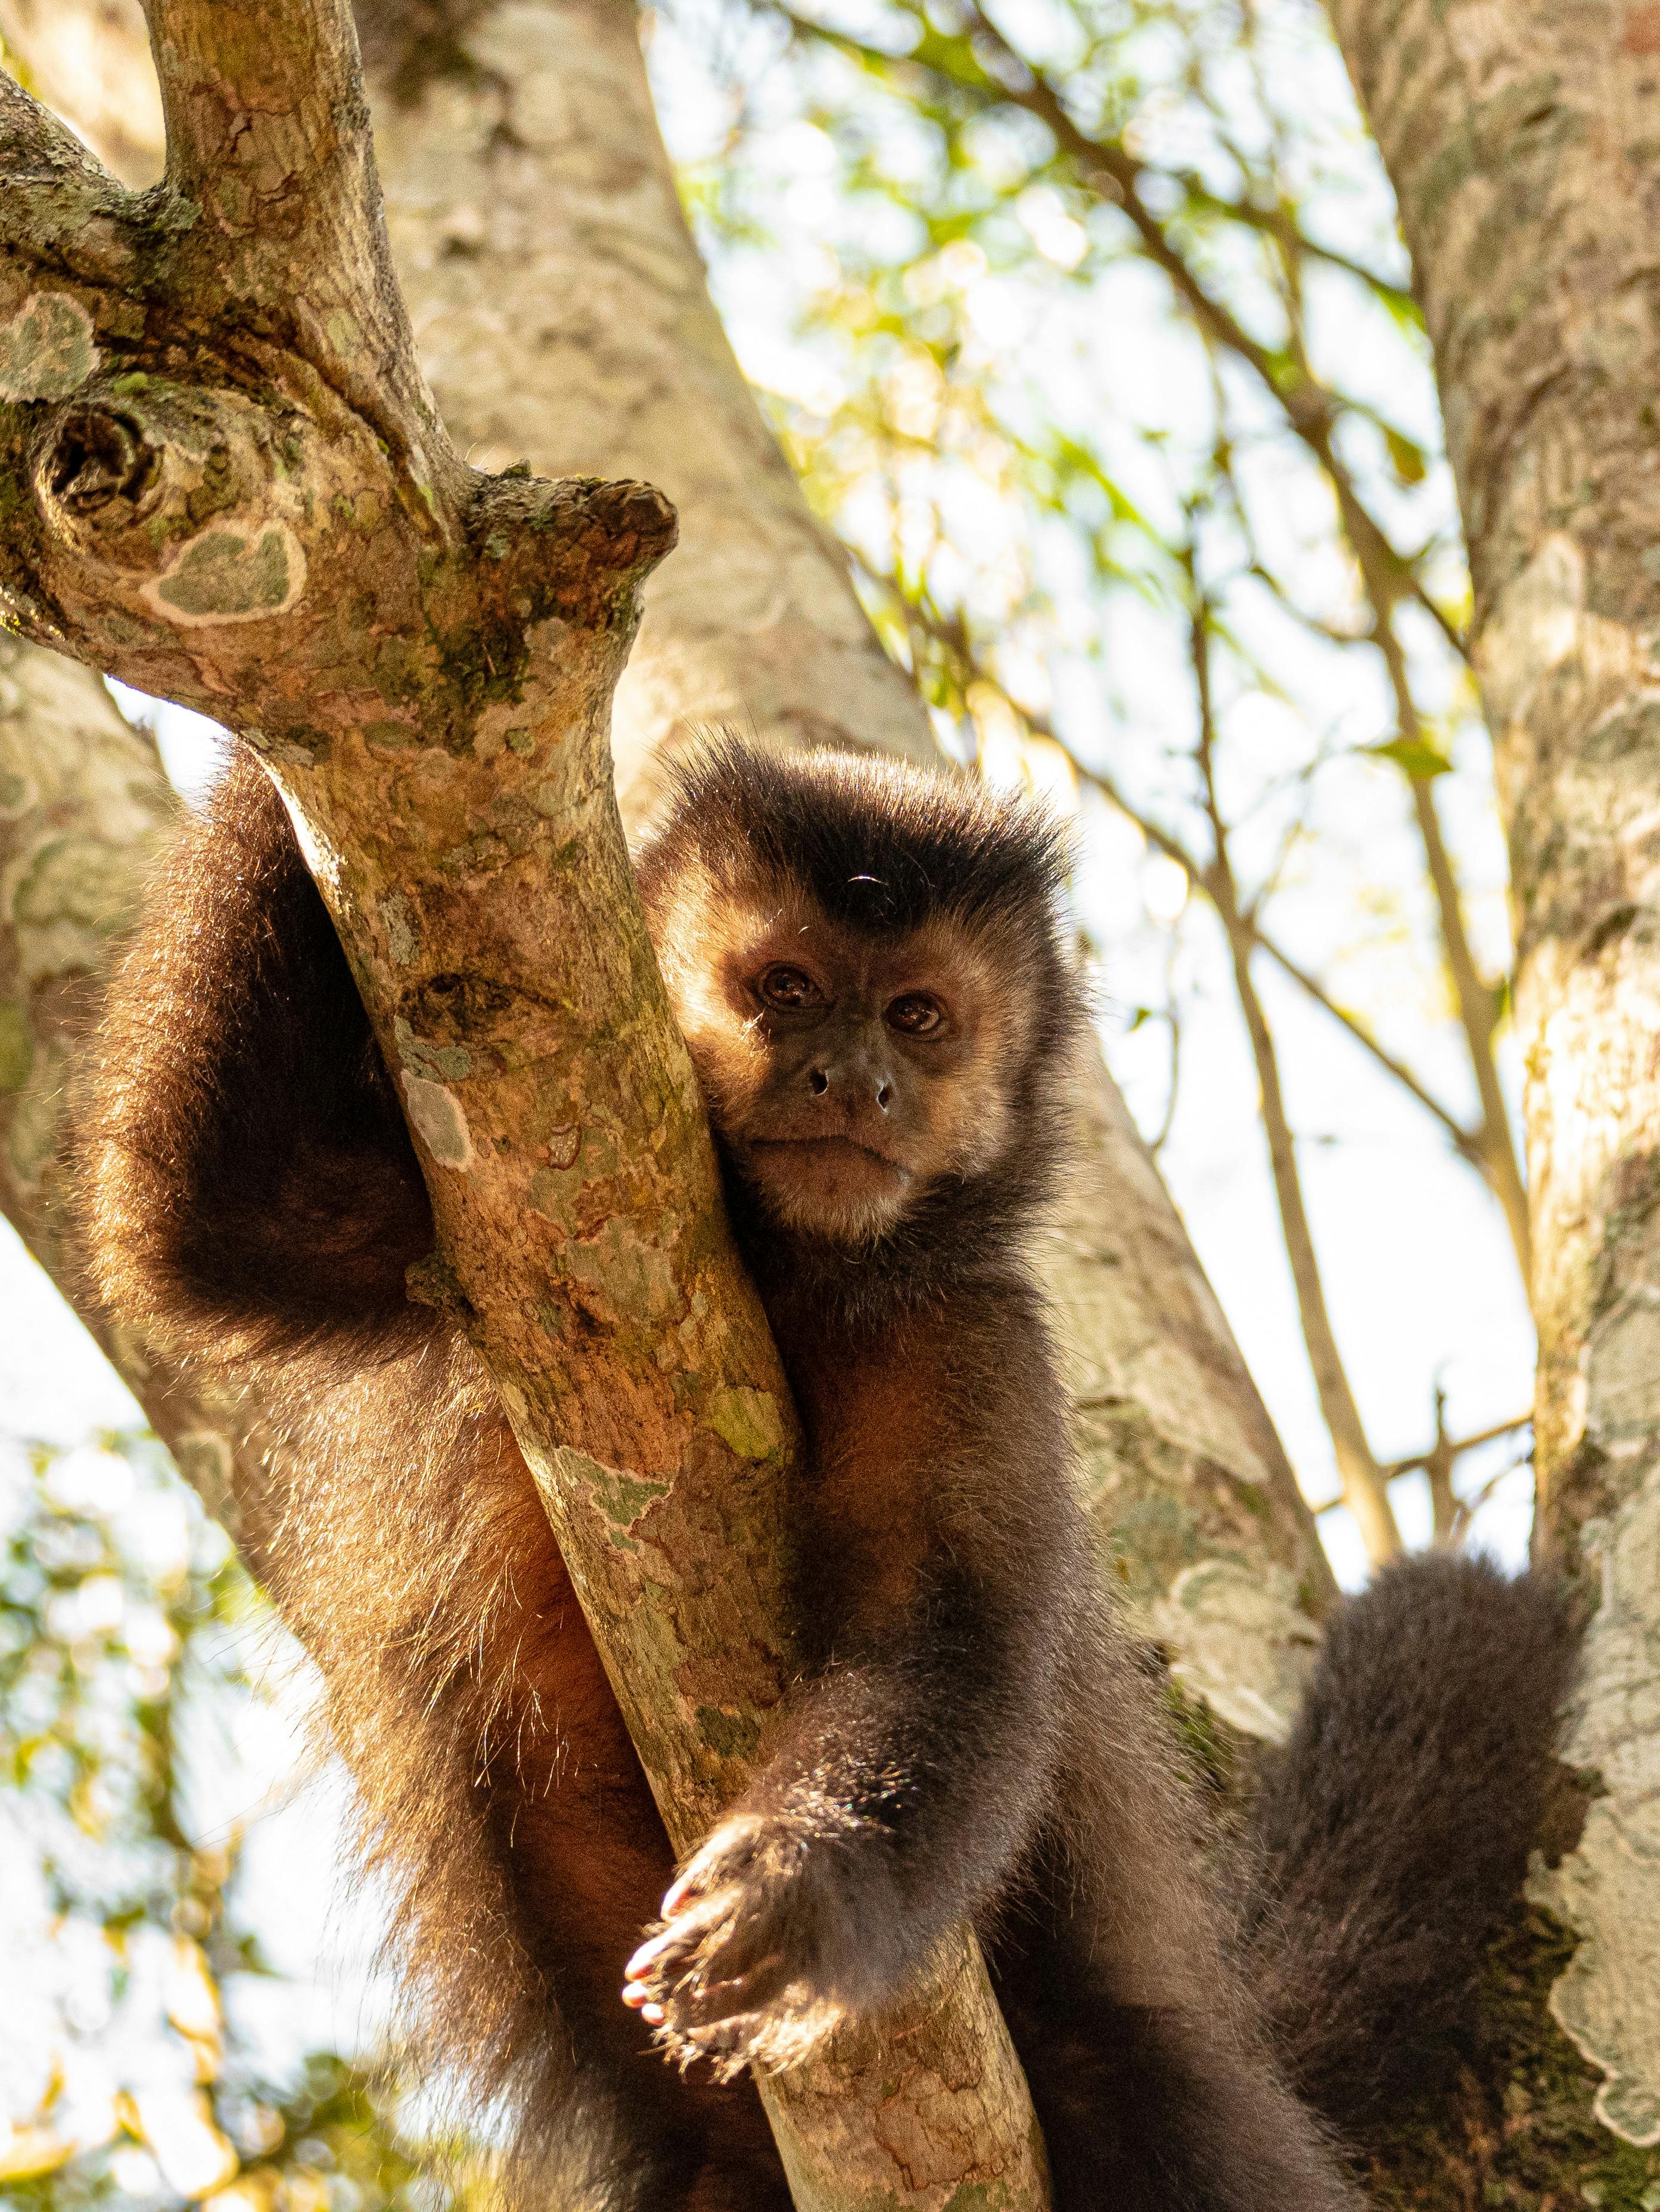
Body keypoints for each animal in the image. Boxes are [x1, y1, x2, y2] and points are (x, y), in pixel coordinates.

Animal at [79, 734, 1576, 2210]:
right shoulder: (458, 1192)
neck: (777, 1262)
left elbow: (945, 1628)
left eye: (917, 1016)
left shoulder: (967, 1334)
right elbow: (212, 1222)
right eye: (786, 989)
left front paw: (797, 1880)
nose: (853, 1081)